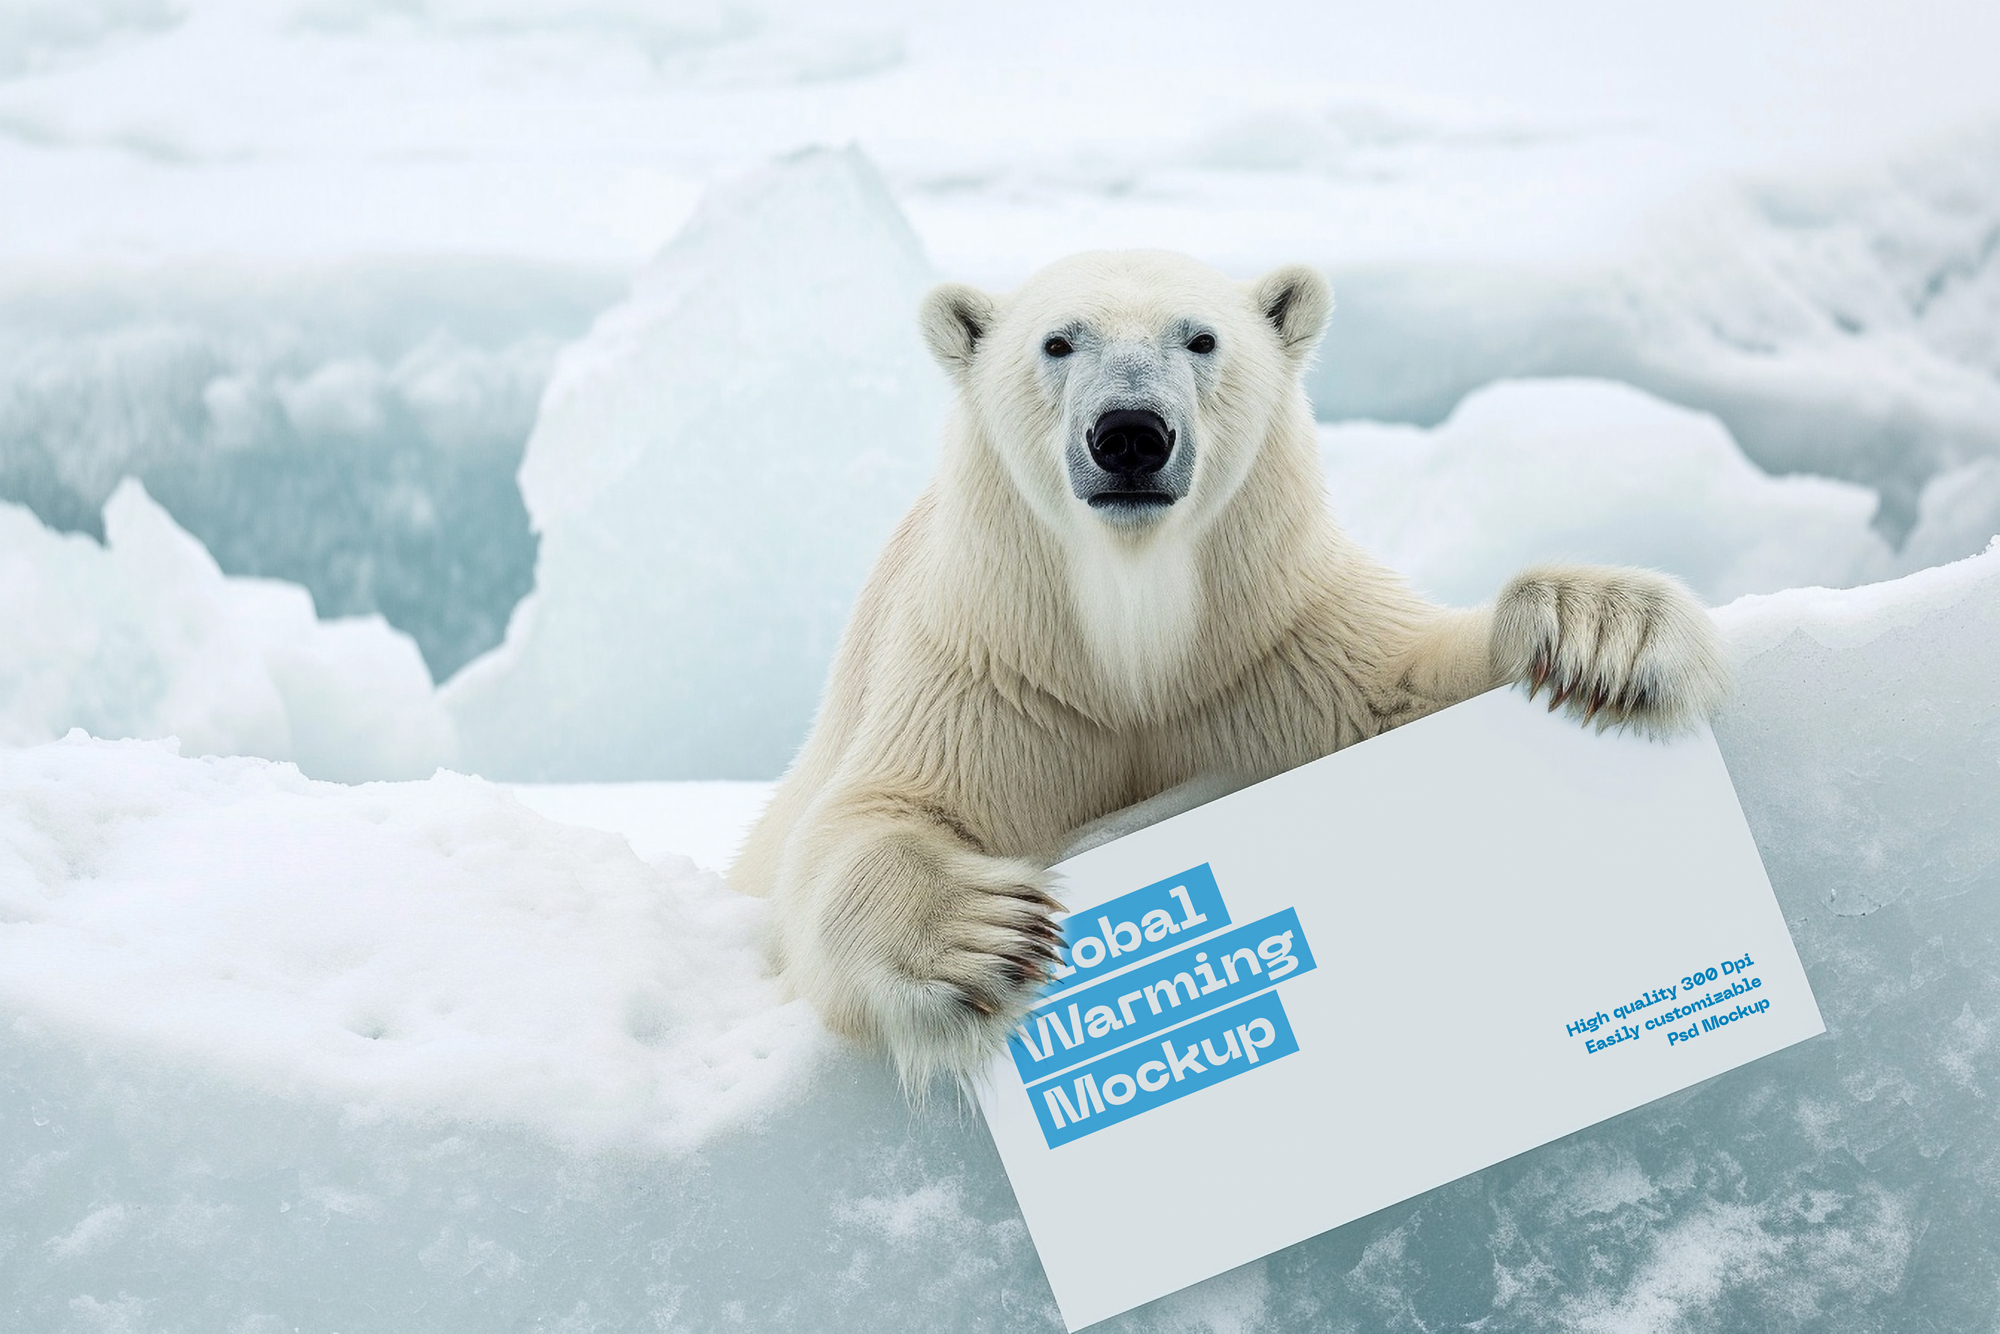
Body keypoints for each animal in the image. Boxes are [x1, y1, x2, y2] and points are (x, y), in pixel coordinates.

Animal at [730, 250, 1728, 1091]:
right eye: (1059, 341)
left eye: (1200, 337)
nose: (1131, 433)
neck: (1129, 638)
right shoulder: (992, 666)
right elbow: (873, 811)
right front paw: (984, 939)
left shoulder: (1274, 646)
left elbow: (1402, 687)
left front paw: (1605, 630)